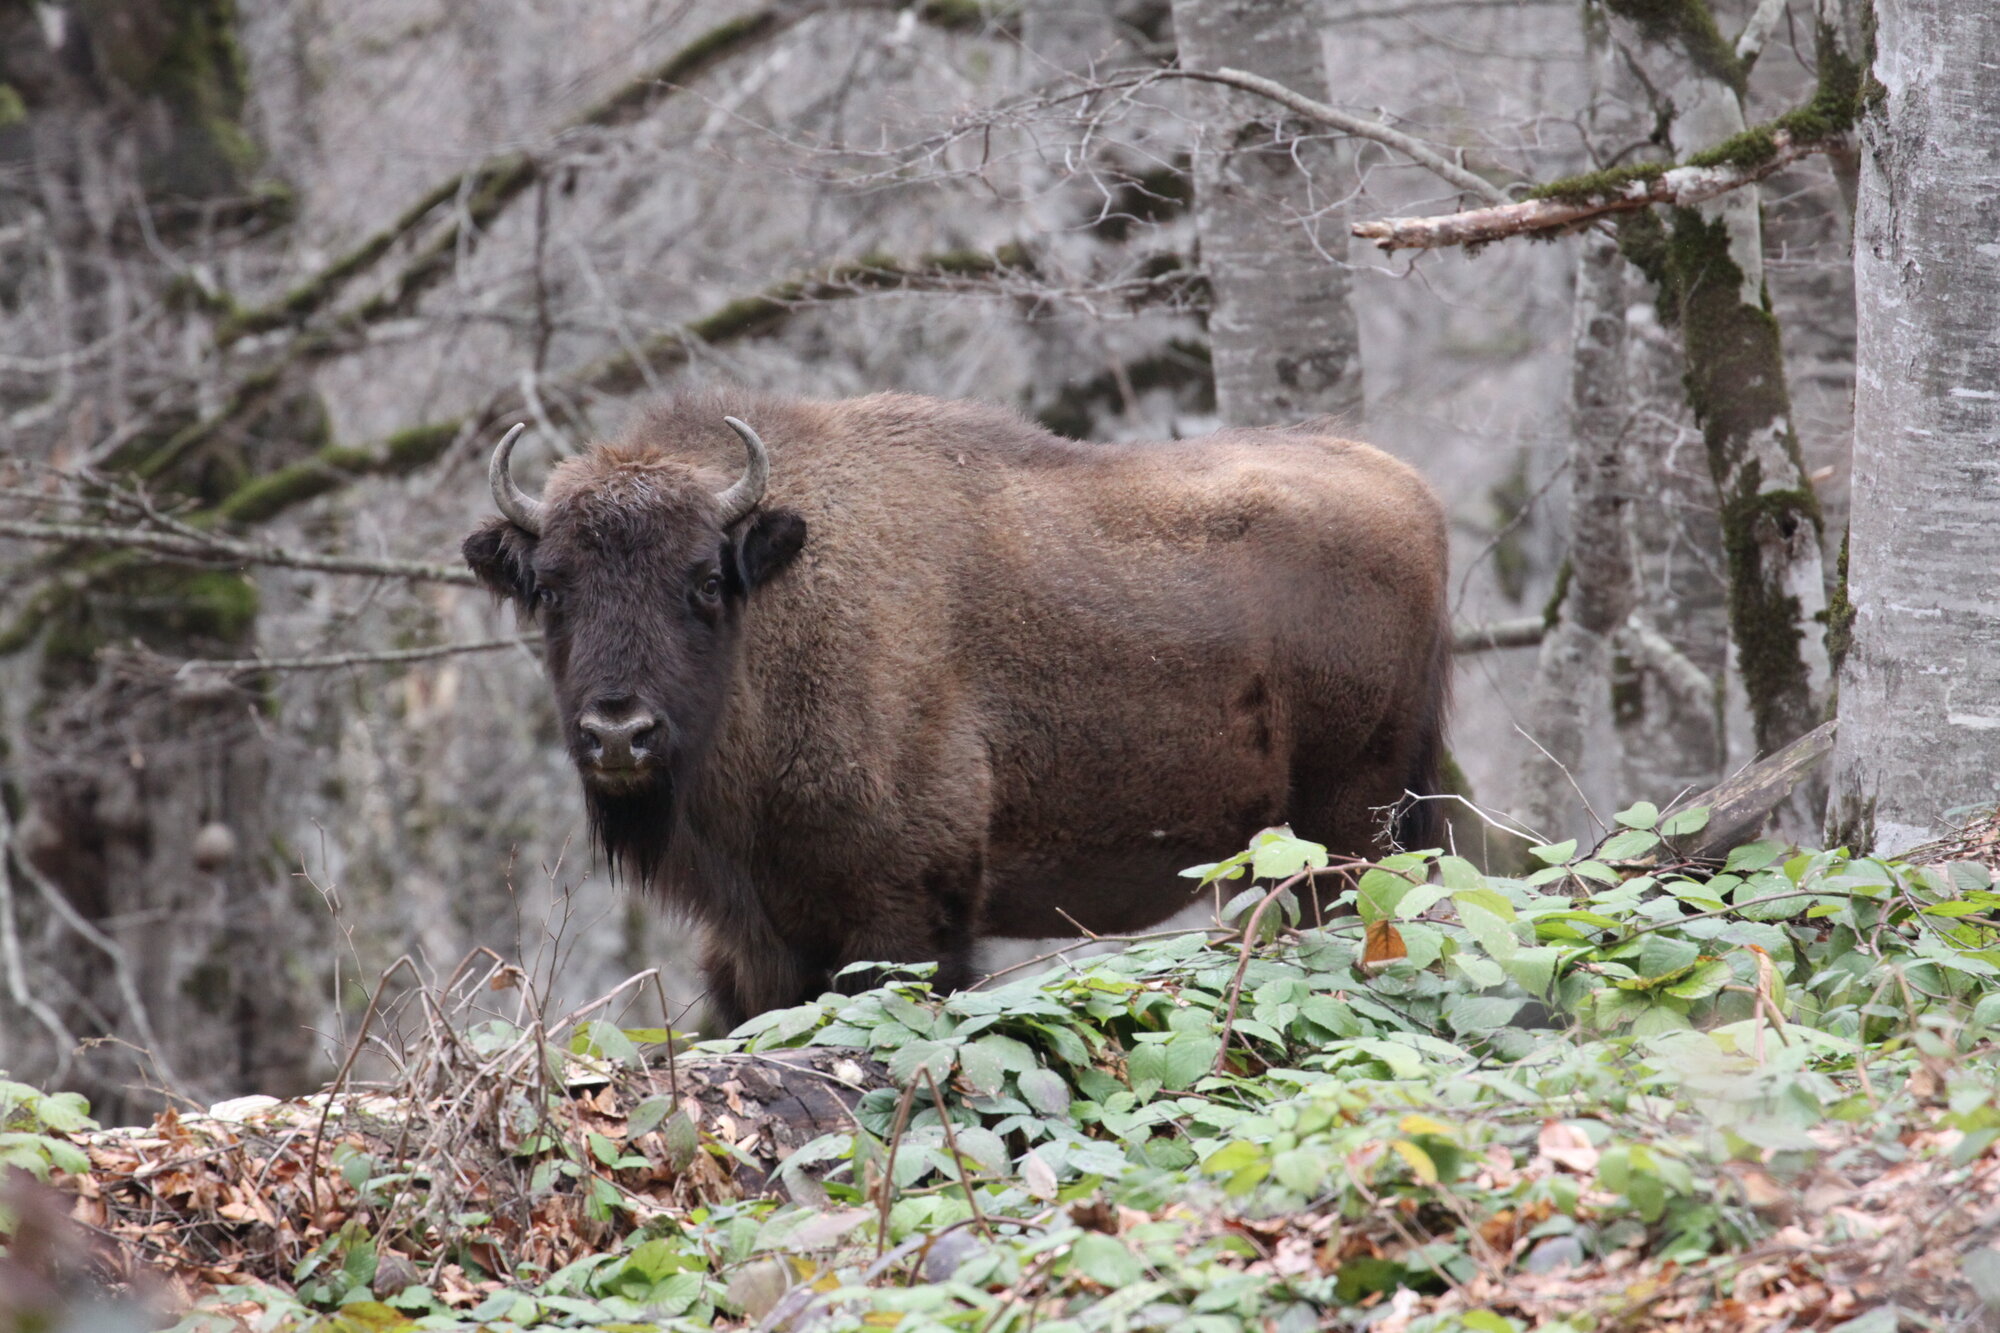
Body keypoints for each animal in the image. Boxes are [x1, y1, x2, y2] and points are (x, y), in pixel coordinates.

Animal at [464, 391, 1450, 1030]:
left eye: (705, 580)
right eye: (551, 589)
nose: (617, 733)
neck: (783, 604)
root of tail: (1409, 489)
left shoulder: (904, 918)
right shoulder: (759, 939)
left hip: (1346, 823)